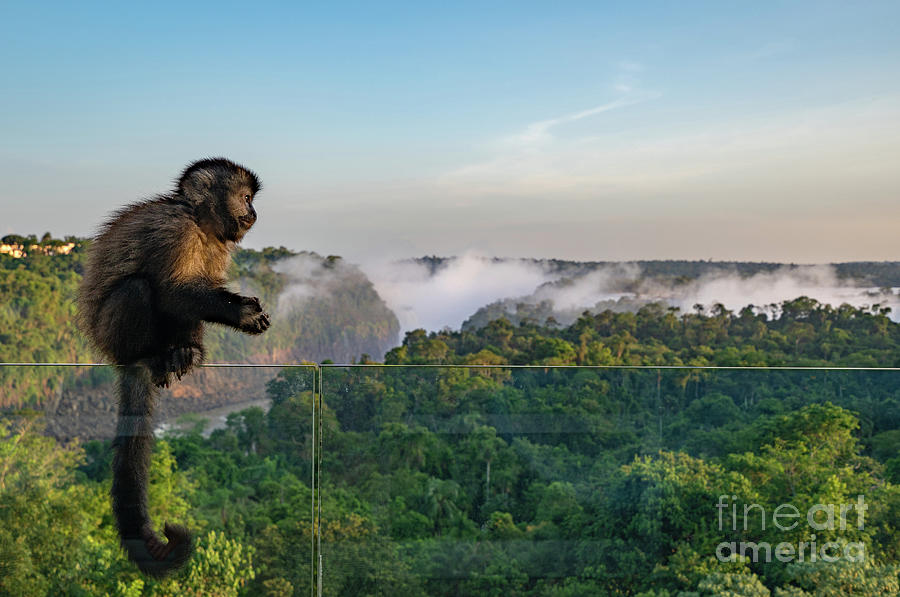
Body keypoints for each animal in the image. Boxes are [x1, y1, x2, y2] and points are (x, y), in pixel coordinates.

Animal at [77, 158, 271, 577]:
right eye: (246, 197)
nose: (254, 214)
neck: (198, 221)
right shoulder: (175, 230)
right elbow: (171, 291)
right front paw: (243, 312)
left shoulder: (217, 244)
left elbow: (197, 289)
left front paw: (196, 345)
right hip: (112, 333)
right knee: (140, 289)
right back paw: (149, 356)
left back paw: (182, 353)